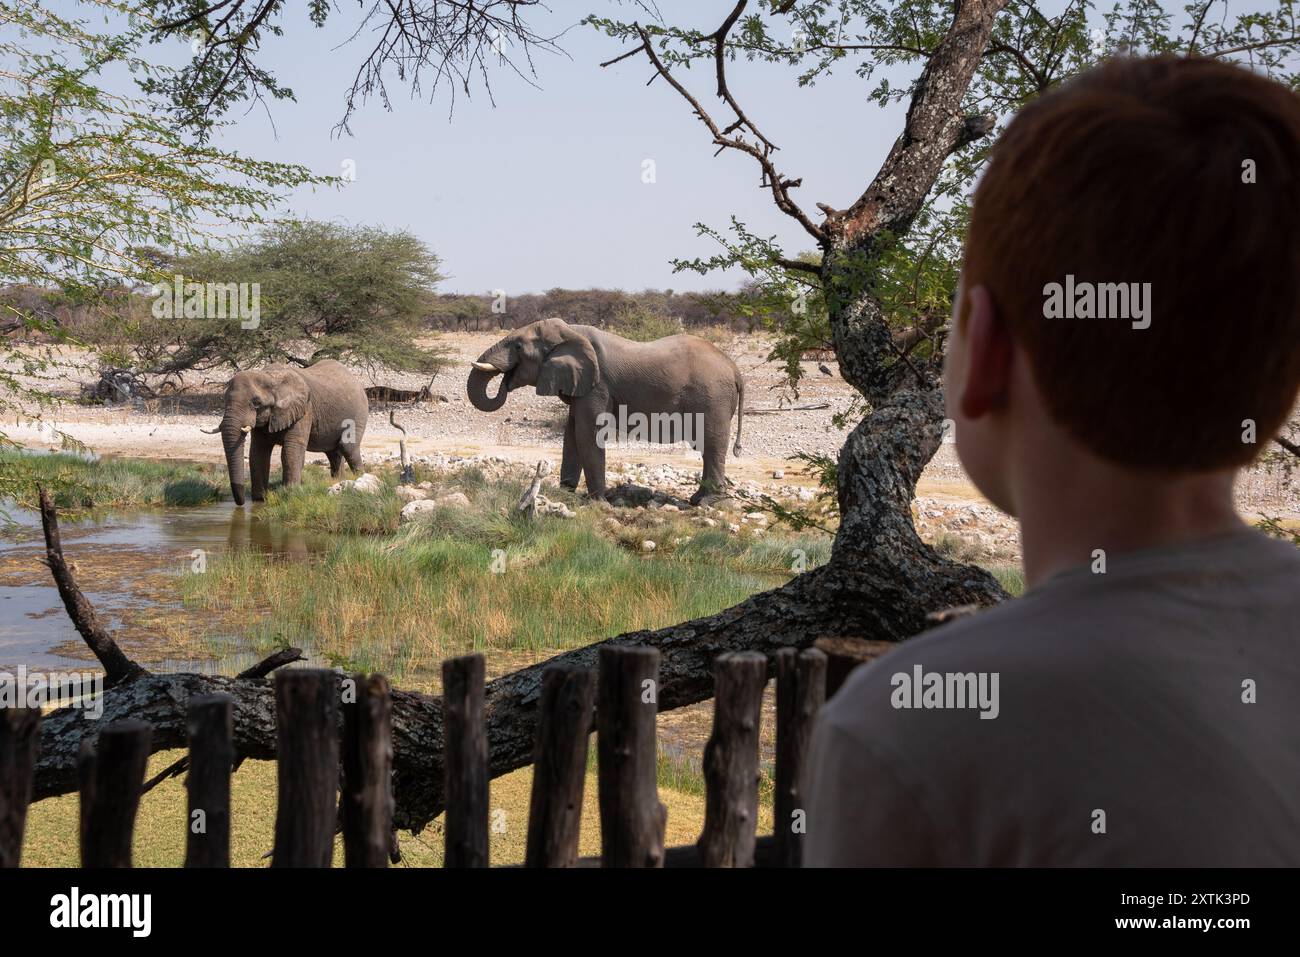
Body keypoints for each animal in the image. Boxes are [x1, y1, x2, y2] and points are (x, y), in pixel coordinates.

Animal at [202, 359, 368, 506]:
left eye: (256, 403)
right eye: (224, 400)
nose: (241, 504)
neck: (270, 377)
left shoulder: (304, 410)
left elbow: (290, 451)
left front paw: (290, 495)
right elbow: (257, 453)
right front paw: (259, 500)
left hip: (359, 412)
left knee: (347, 446)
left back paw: (360, 478)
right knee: (333, 453)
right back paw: (337, 481)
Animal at [466, 318, 744, 505]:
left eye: (518, 347)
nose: (505, 381)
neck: (571, 332)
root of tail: (734, 368)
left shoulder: (598, 385)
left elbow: (588, 433)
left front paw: (598, 502)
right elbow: (572, 433)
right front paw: (564, 494)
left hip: (713, 398)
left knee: (712, 444)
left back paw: (707, 503)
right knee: (709, 448)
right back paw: (697, 500)